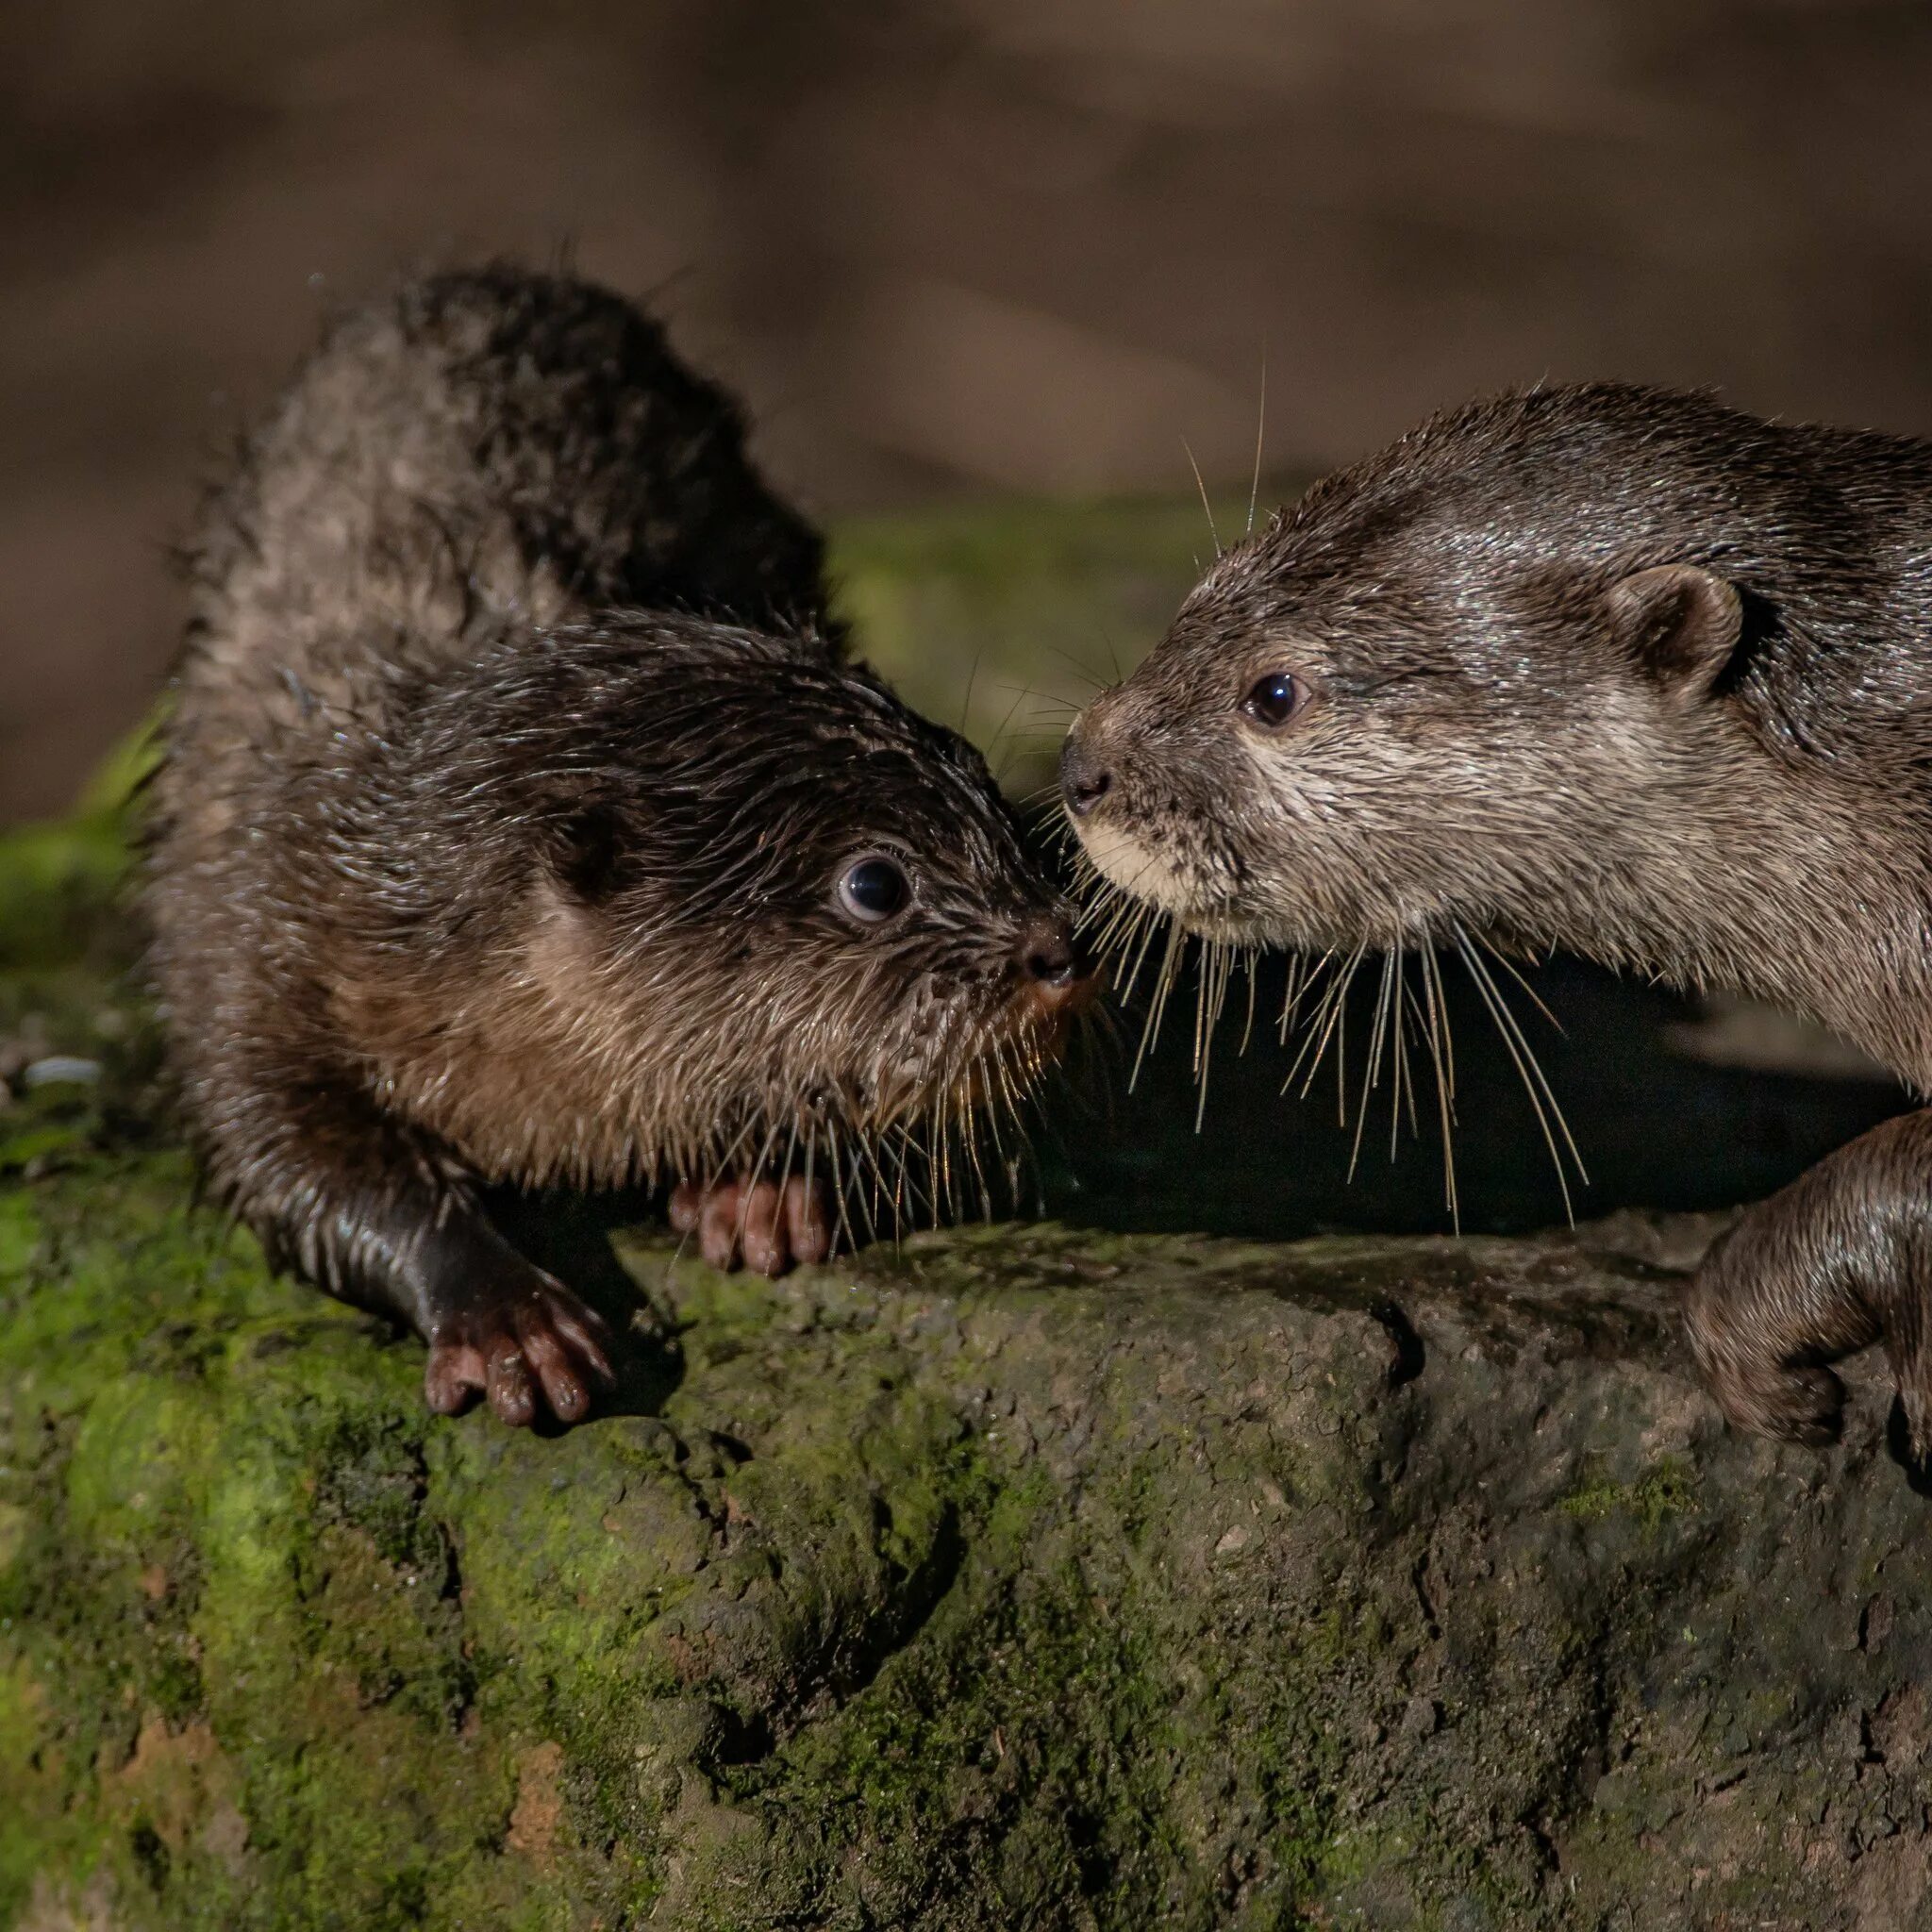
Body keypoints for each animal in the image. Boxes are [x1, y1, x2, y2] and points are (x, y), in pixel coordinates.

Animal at [149, 264, 1090, 1429]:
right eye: (875, 882)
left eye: (973, 771)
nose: (1059, 947)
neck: (394, 886)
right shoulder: (251, 942)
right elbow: (280, 1152)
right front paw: (505, 1319)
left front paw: (756, 1189)